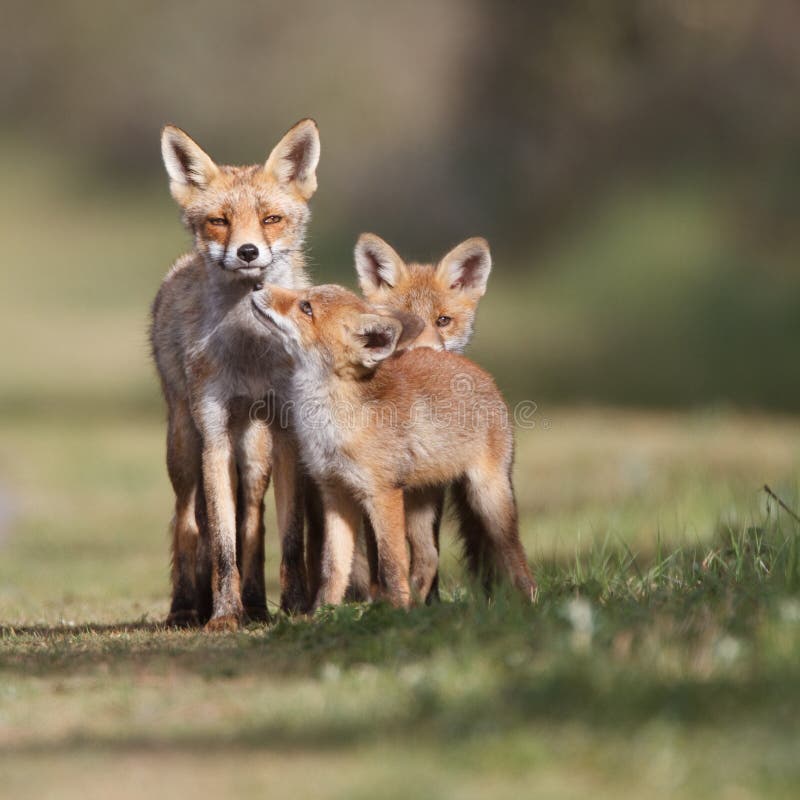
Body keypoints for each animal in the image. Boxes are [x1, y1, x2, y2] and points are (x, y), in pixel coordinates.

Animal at [150, 119, 320, 630]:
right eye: (219, 221)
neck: (251, 352)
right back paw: (187, 606)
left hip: (255, 453)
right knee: (187, 522)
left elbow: (287, 539)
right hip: (184, 445)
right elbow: (222, 545)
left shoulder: (285, 434)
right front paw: (224, 615)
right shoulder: (215, 436)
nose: (247, 252)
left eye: (271, 219)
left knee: (254, 523)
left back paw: (259, 605)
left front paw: (296, 607)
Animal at [251, 283, 536, 609]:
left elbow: (390, 564)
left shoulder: (382, 493)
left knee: (516, 557)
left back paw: (529, 603)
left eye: (306, 307)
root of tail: (477, 369)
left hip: (487, 497)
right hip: (418, 503)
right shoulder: (336, 493)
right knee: (429, 558)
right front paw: (323, 612)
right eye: (304, 297)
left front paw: (396, 610)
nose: (257, 285)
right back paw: (419, 607)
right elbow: (332, 568)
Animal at [350, 234, 493, 601]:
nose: (426, 350)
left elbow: (430, 553)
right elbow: (381, 553)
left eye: (443, 320)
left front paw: (431, 602)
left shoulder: (433, 484)